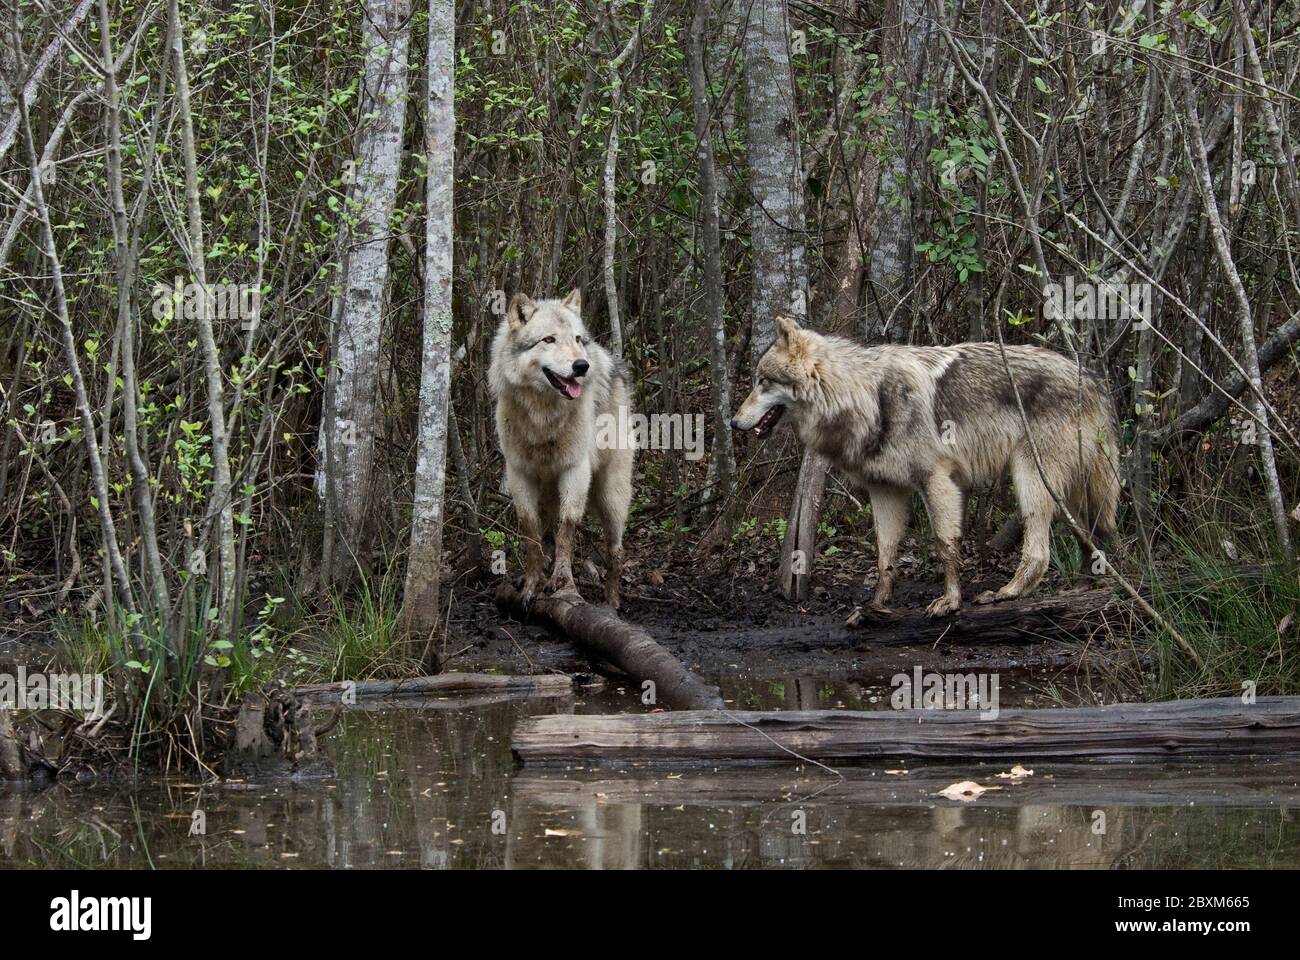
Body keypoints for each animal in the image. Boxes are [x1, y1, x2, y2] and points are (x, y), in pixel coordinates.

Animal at [488, 289, 635, 609]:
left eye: (577, 339)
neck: (543, 419)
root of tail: (611, 361)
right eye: (549, 339)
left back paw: (611, 602)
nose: (581, 366)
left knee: (616, 552)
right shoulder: (519, 474)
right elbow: (531, 533)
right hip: (548, 494)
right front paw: (532, 583)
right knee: (546, 533)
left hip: (610, 498)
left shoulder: (575, 471)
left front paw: (563, 583)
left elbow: (567, 530)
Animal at [731, 317, 1119, 617]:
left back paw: (1007, 593)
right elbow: (885, 554)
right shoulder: (884, 490)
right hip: (1066, 492)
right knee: (1090, 533)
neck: (865, 397)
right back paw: (1083, 587)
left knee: (1040, 552)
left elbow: (945, 546)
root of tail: (1093, 379)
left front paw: (950, 601)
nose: (734, 423)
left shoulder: (938, 481)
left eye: (762, 381)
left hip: (1030, 479)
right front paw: (877, 605)